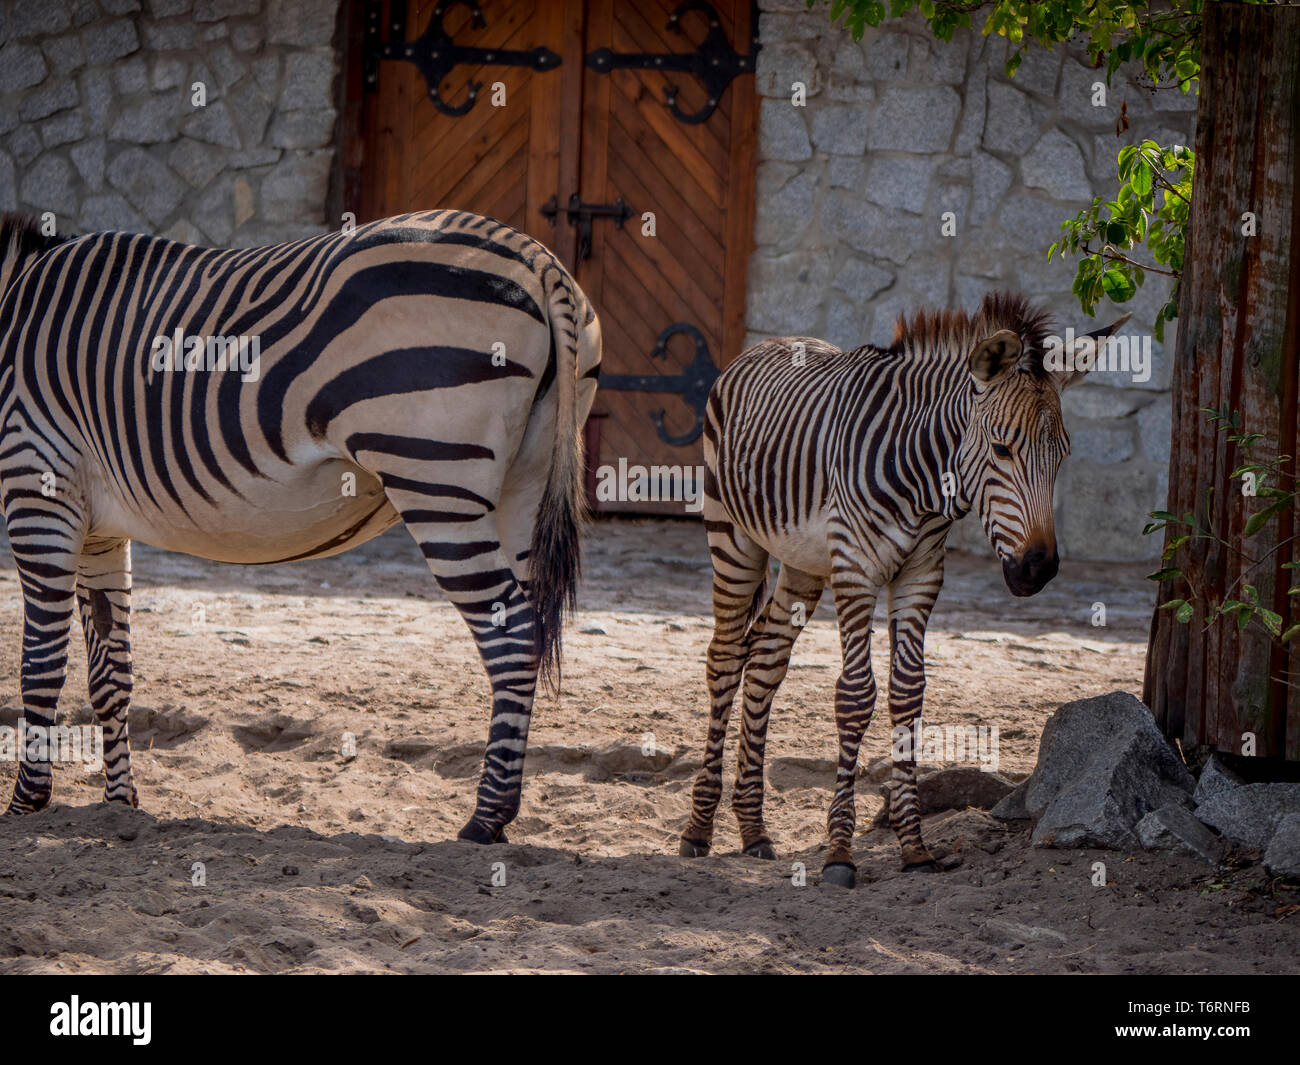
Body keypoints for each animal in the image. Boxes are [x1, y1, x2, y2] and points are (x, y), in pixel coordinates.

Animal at [0, 209, 601, 845]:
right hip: (525, 484)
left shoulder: (36, 485)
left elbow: (38, 665)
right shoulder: (101, 530)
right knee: (531, 629)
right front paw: (119, 806)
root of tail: (535, 258)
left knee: (512, 637)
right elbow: (111, 674)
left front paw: (25, 804)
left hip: (436, 478)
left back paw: (486, 819)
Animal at [678, 292, 1129, 886]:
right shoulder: (855, 569)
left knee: (766, 662)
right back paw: (698, 829)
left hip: (802, 564)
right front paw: (839, 852)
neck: (923, 480)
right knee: (726, 658)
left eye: (1064, 454)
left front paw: (914, 846)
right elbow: (855, 696)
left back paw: (753, 830)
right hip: (731, 536)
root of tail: (766, 344)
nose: (1038, 570)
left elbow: (908, 694)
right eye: (1002, 449)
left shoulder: (921, 575)